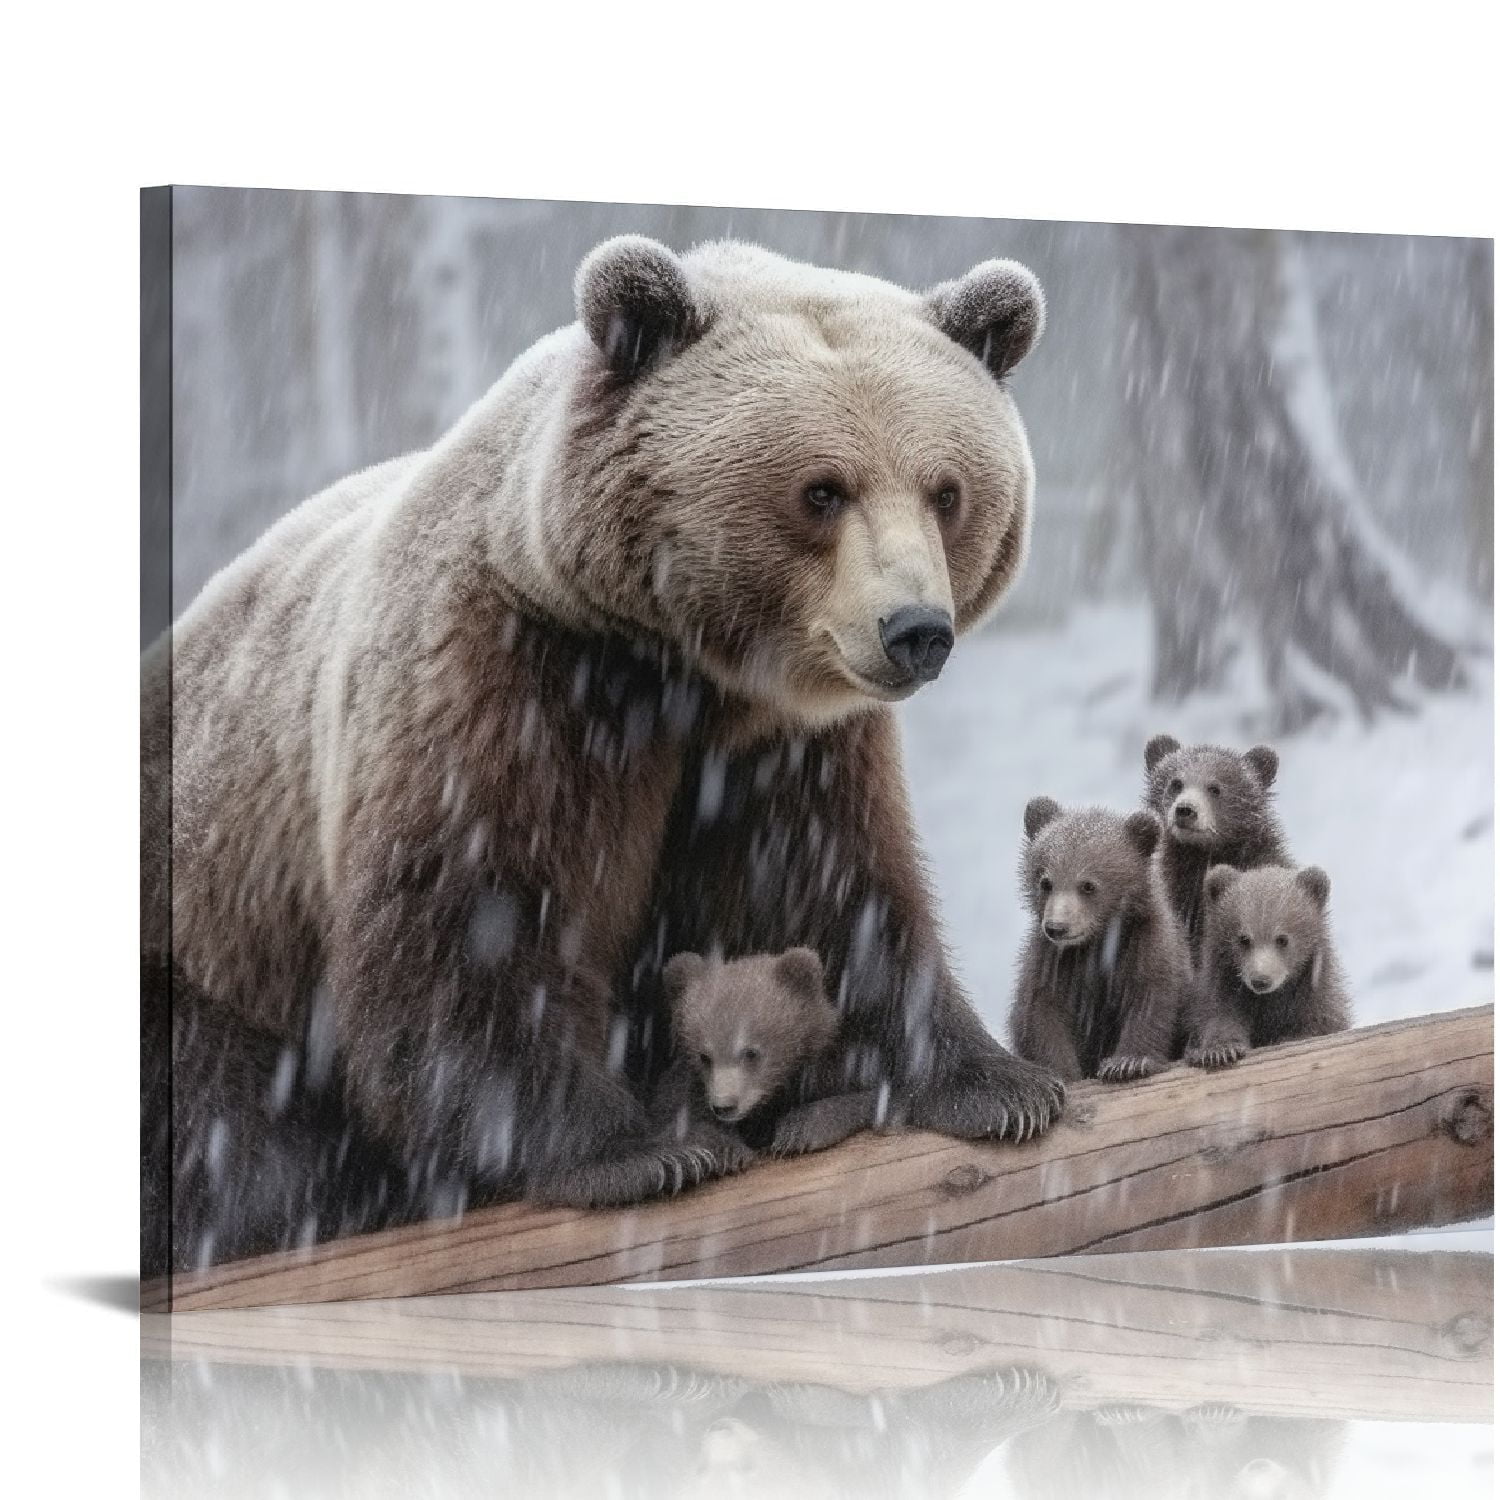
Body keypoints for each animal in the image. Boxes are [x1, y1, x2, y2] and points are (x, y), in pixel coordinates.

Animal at [1008, 798, 1192, 1083]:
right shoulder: (1051, 963)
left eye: (1088, 885)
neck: (1096, 944)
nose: (1057, 927)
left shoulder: (1146, 946)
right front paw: (1065, 1072)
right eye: (1045, 882)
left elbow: (1151, 999)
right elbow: (1042, 1014)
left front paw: (1127, 1063)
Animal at [1184, 864, 1351, 1068]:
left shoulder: (1316, 1001)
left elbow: (1315, 1026)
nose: (1260, 980)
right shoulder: (1225, 986)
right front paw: (1220, 1051)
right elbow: (1219, 1015)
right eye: (1243, 939)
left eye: (1282, 939)